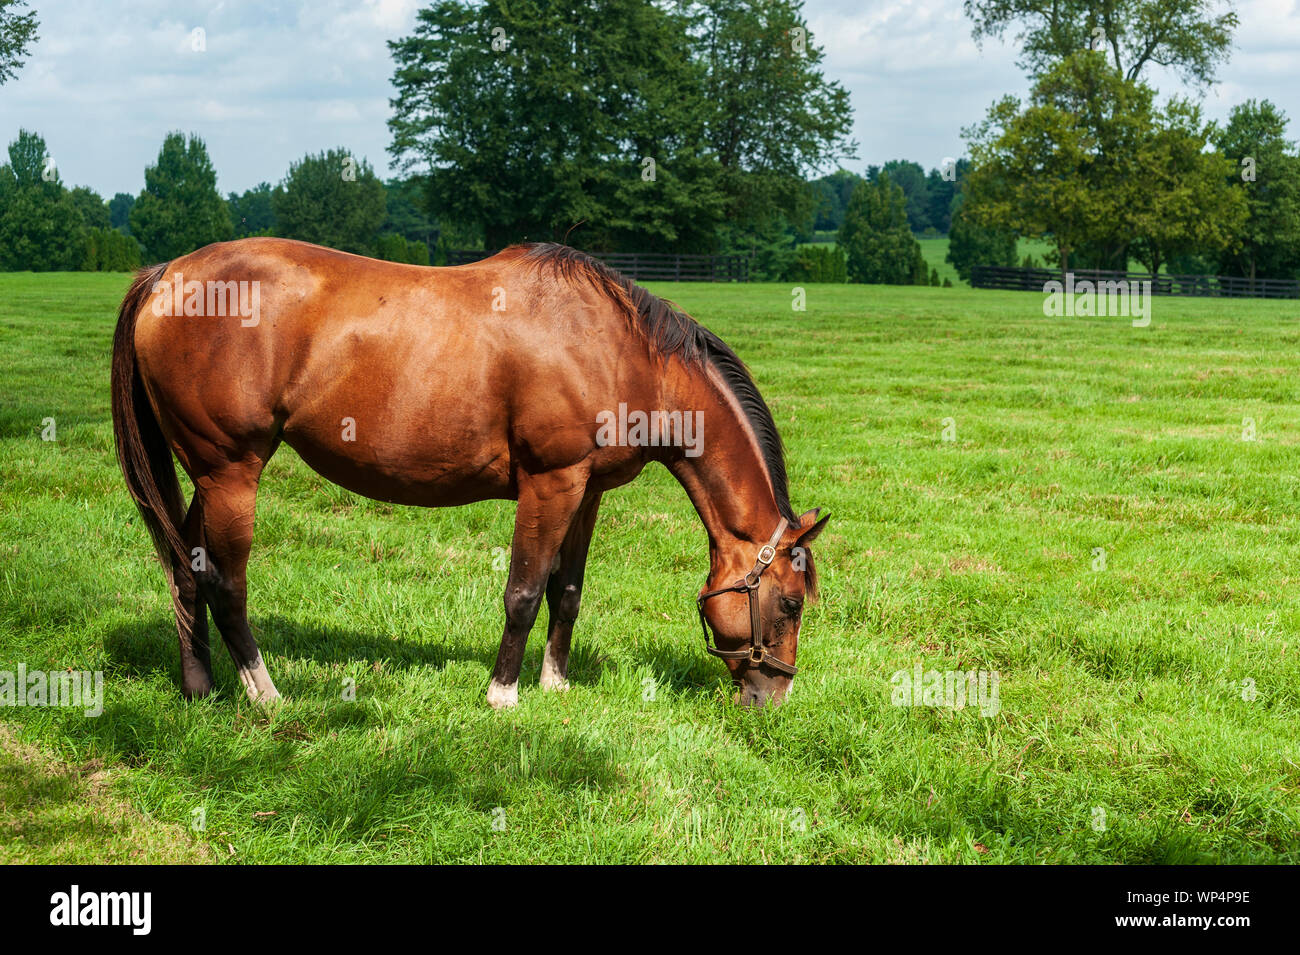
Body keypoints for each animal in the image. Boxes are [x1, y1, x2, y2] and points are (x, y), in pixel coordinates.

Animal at [111, 238, 829, 708]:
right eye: (791, 602)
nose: (774, 698)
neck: (622, 353)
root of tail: (167, 274)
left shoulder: (586, 490)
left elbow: (568, 589)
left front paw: (555, 682)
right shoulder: (549, 483)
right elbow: (525, 590)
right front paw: (502, 693)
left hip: (207, 478)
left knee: (184, 566)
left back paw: (199, 686)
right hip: (231, 472)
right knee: (224, 582)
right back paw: (264, 692)